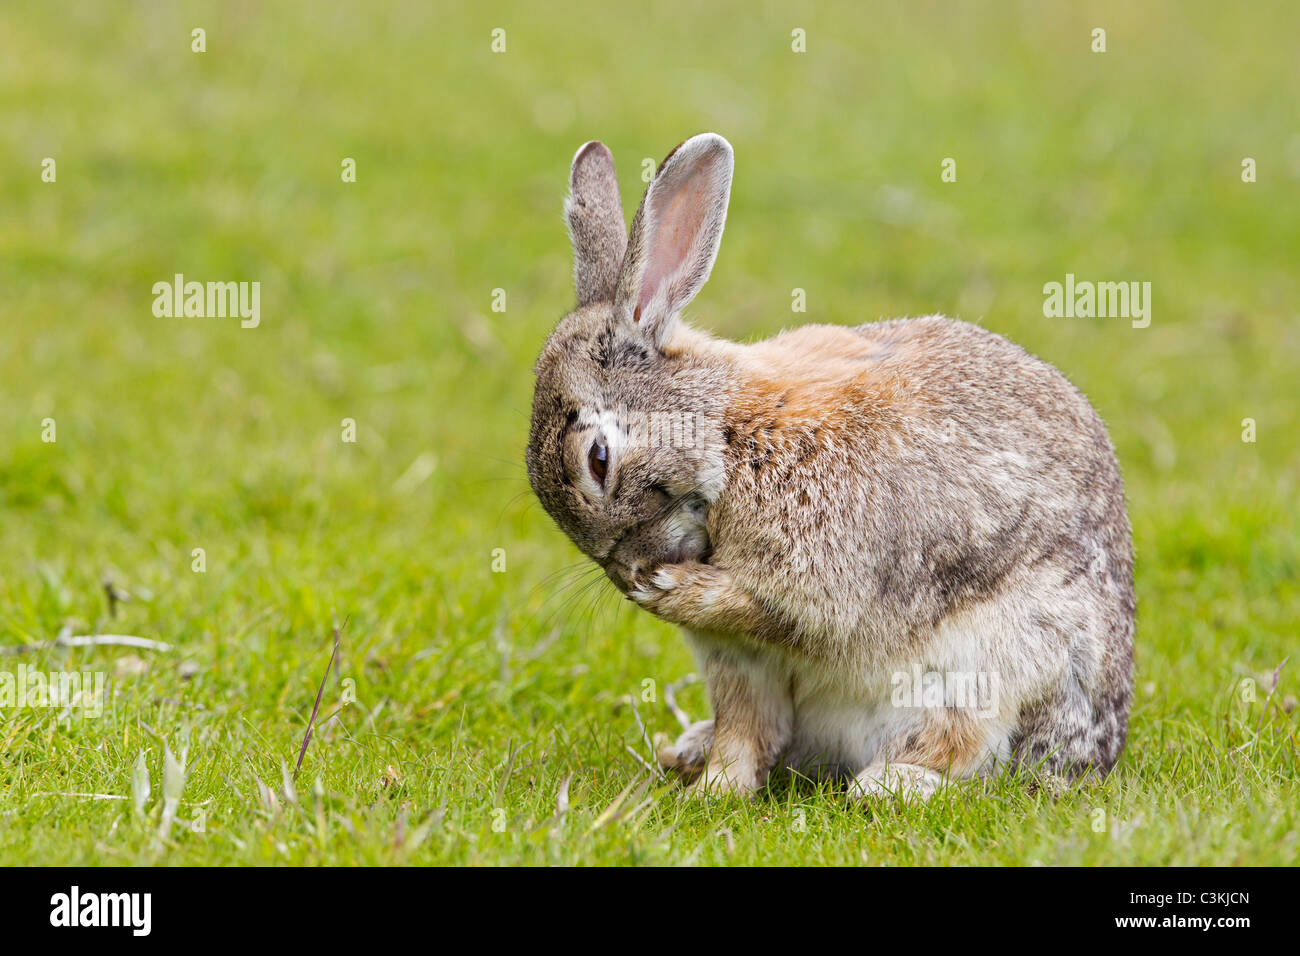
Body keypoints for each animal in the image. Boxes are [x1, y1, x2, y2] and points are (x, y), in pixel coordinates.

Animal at [526, 133, 1135, 800]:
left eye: (598, 460)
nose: (627, 571)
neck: (728, 433)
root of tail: (1095, 751)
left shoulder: (820, 579)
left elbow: (778, 611)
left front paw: (671, 591)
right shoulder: (736, 661)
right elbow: (745, 730)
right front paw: (714, 790)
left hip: (994, 667)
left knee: (964, 752)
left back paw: (890, 784)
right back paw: (688, 750)